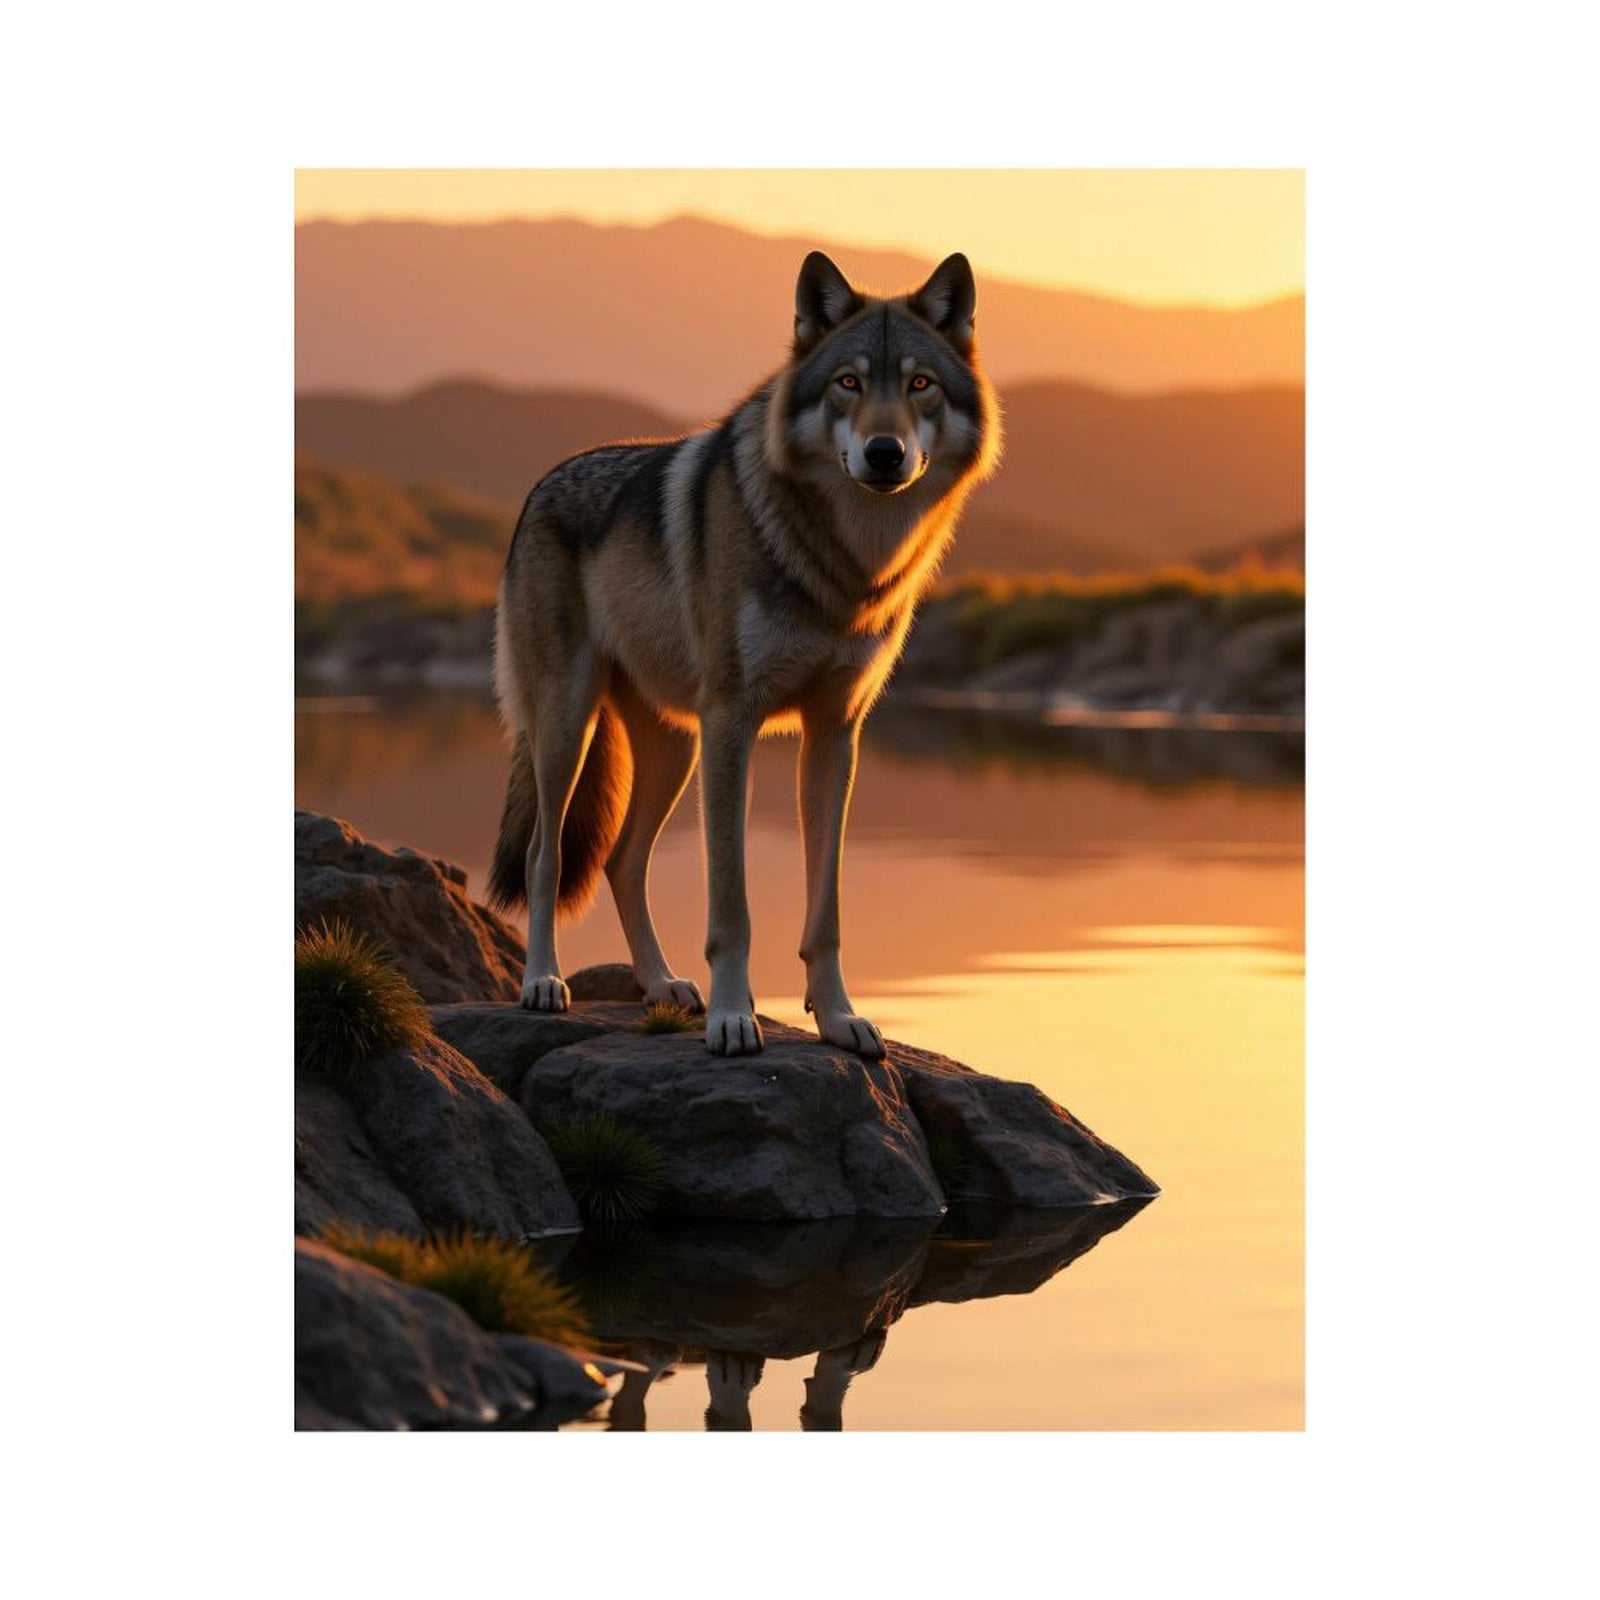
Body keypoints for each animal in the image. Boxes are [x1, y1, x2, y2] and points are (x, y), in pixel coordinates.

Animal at [488, 250, 1000, 1057]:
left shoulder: (834, 735)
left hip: (673, 748)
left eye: (920, 384)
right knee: (548, 856)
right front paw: (733, 1018)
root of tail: (541, 485)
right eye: (848, 382)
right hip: (570, 728)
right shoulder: (734, 723)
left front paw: (839, 1018)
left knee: (622, 862)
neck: (845, 561)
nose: (884, 453)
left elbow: (826, 913)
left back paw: (662, 985)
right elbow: (731, 908)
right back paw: (542, 983)